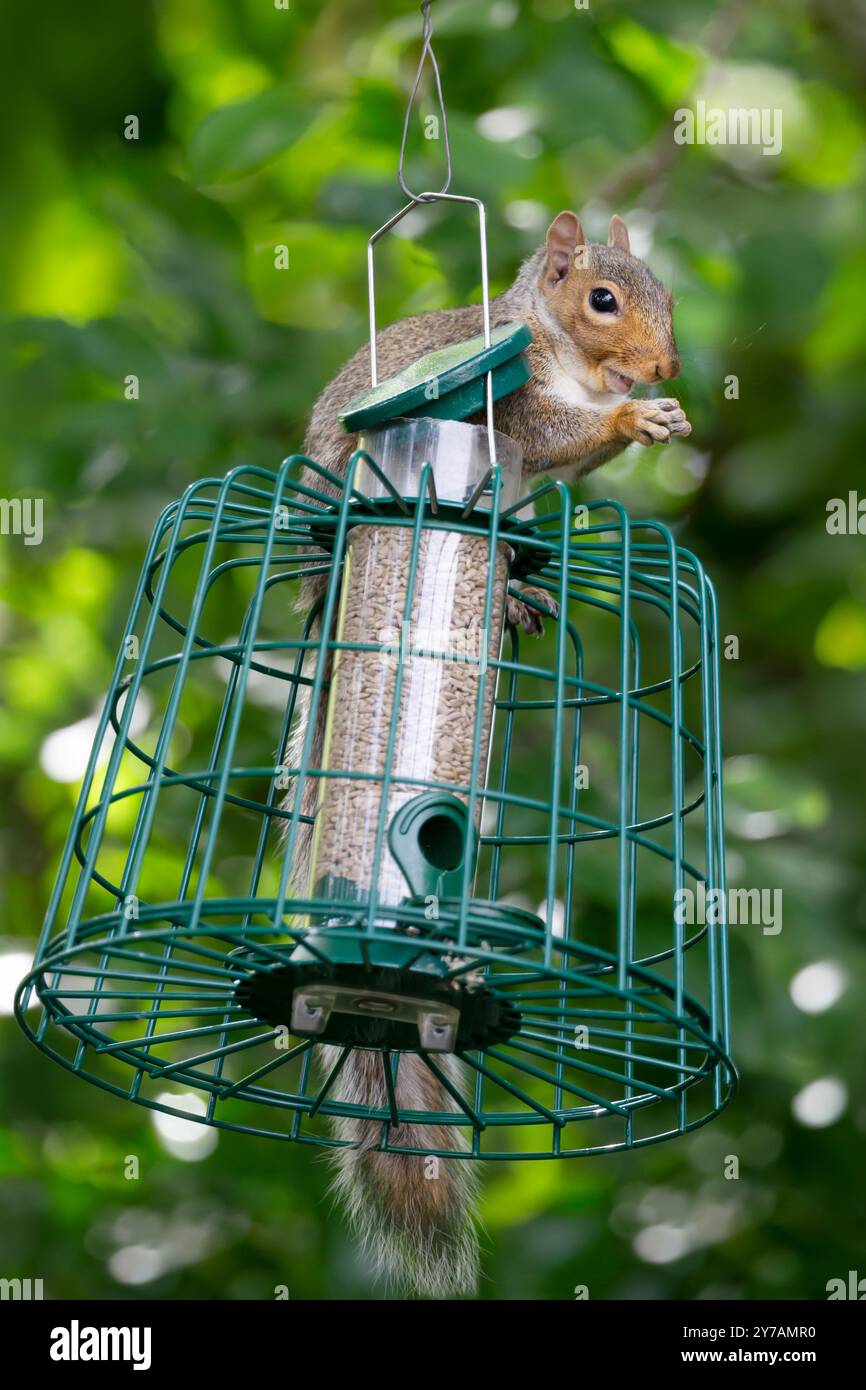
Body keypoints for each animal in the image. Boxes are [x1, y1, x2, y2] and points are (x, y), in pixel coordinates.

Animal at [285, 211, 690, 1298]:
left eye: (667, 297)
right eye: (602, 299)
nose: (665, 366)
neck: (565, 358)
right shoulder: (509, 405)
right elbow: (548, 435)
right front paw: (631, 423)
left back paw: (515, 591)